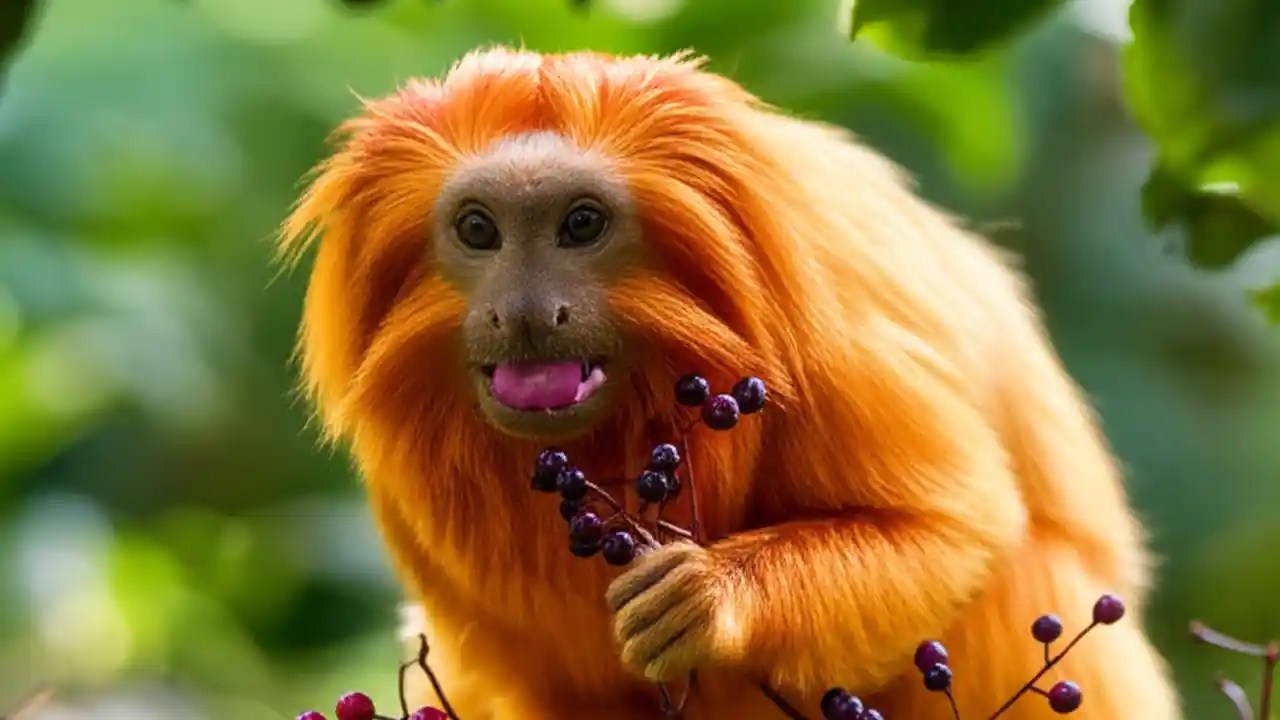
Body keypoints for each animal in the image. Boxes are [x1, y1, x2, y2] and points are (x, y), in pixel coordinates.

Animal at [279, 47, 1182, 719]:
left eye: (581, 225)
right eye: (477, 230)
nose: (526, 312)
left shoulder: (822, 335)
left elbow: (952, 530)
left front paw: (710, 601)